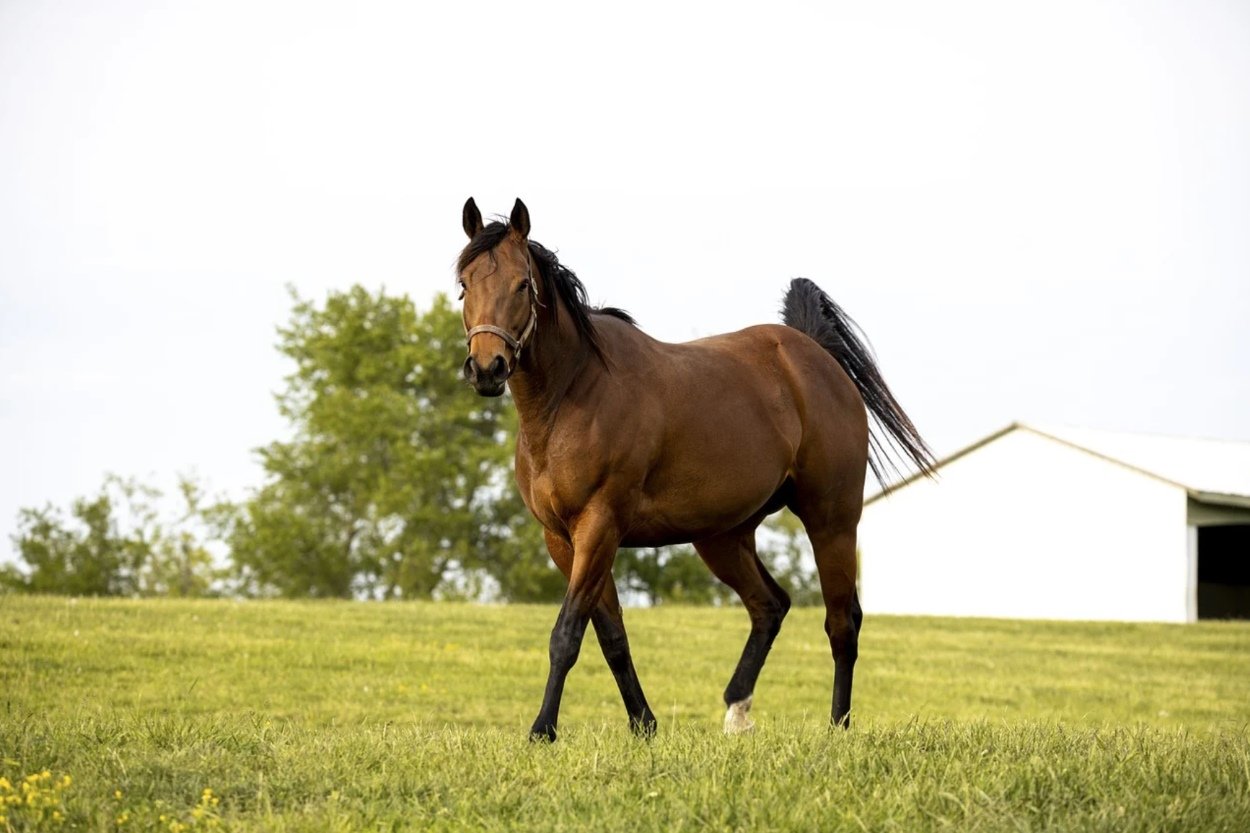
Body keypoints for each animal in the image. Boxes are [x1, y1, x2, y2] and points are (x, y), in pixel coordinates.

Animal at [457, 197, 935, 742]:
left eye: (522, 284)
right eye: (465, 284)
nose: (487, 368)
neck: (572, 396)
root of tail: (814, 357)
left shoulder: (599, 527)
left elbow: (568, 633)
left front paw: (543, 730)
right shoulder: (561, 539)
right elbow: (611, 636)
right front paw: (643, 725)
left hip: (830, 520)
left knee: (841, 622)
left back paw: (837, 727)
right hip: (723, 536)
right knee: (770, 606)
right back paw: (737, 715)